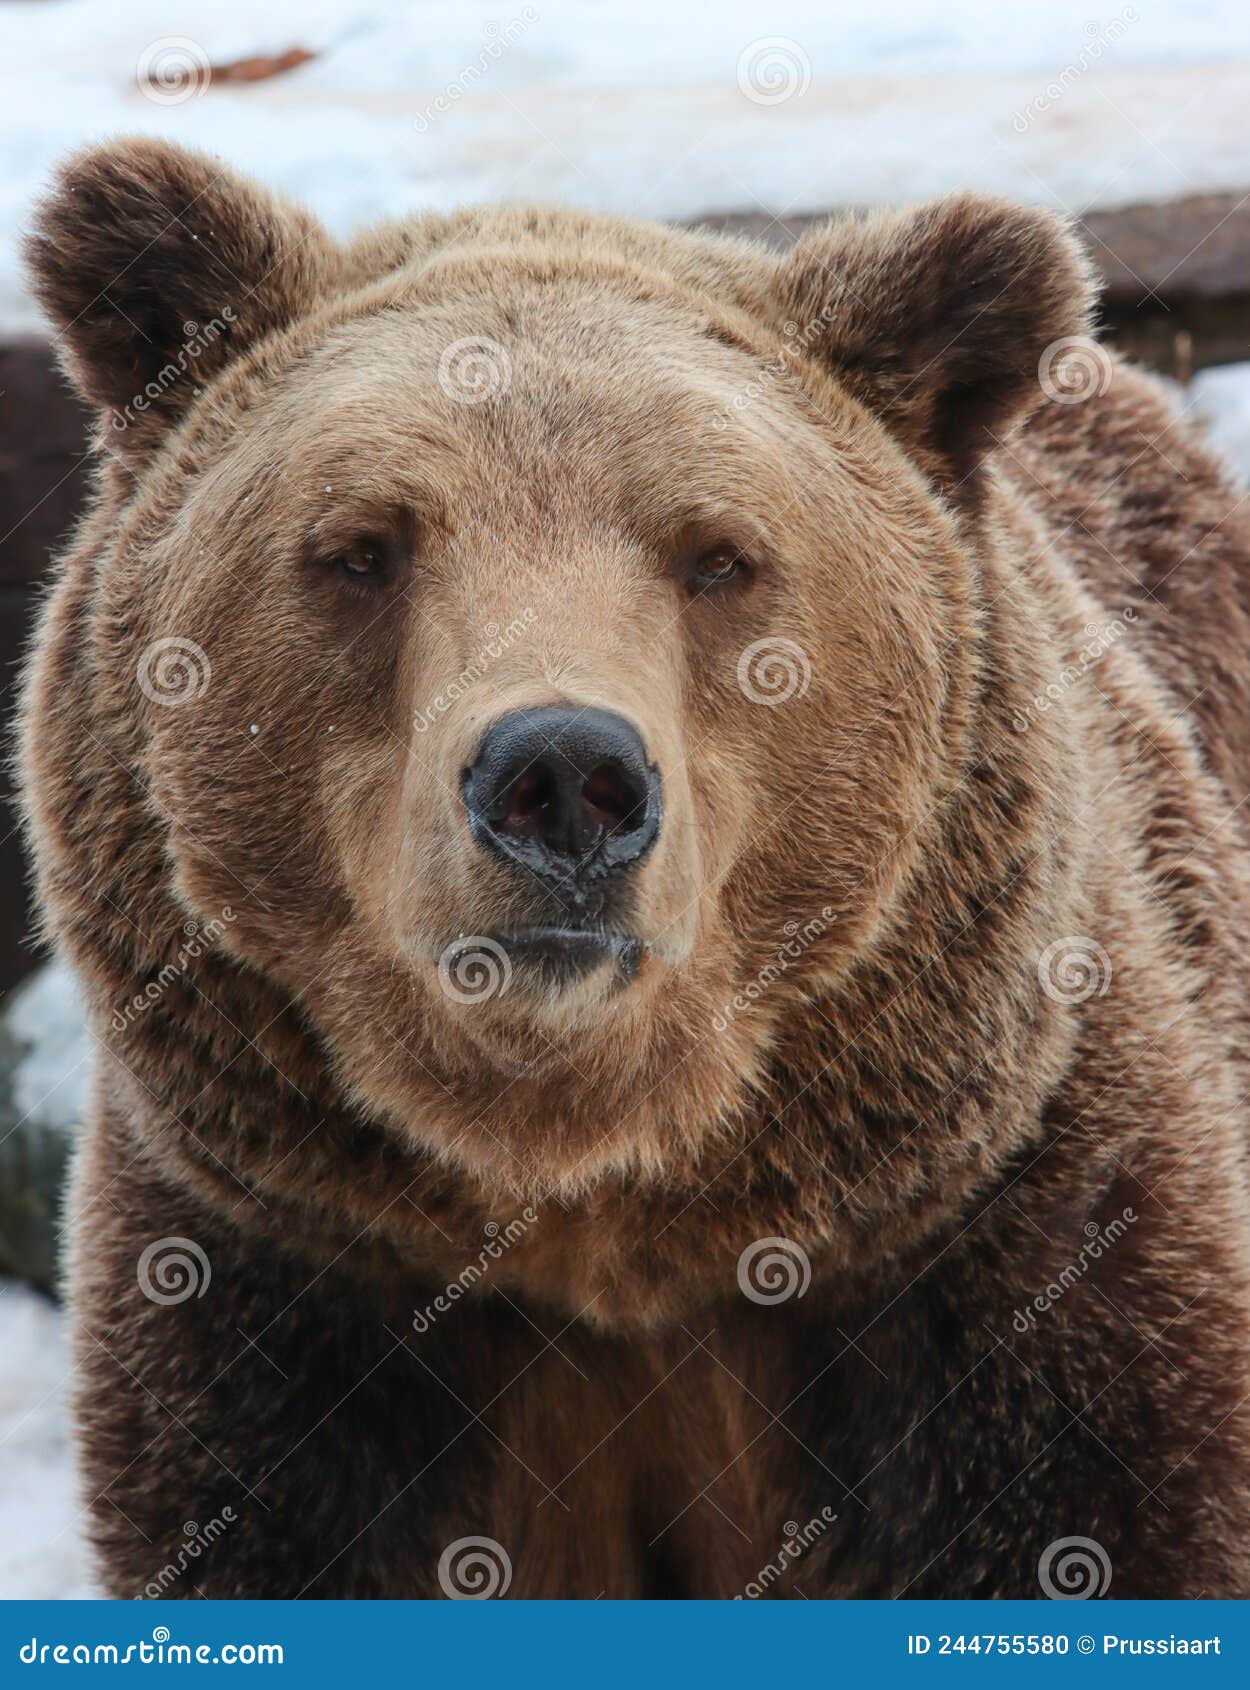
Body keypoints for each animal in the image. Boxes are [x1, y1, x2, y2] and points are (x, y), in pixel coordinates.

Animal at [17, 136, 1250, 1600]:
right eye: (360, 547)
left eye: (718, 554)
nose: (560, 775)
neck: (612, 1209)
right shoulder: (291, 1308)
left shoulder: (1013, 1251)